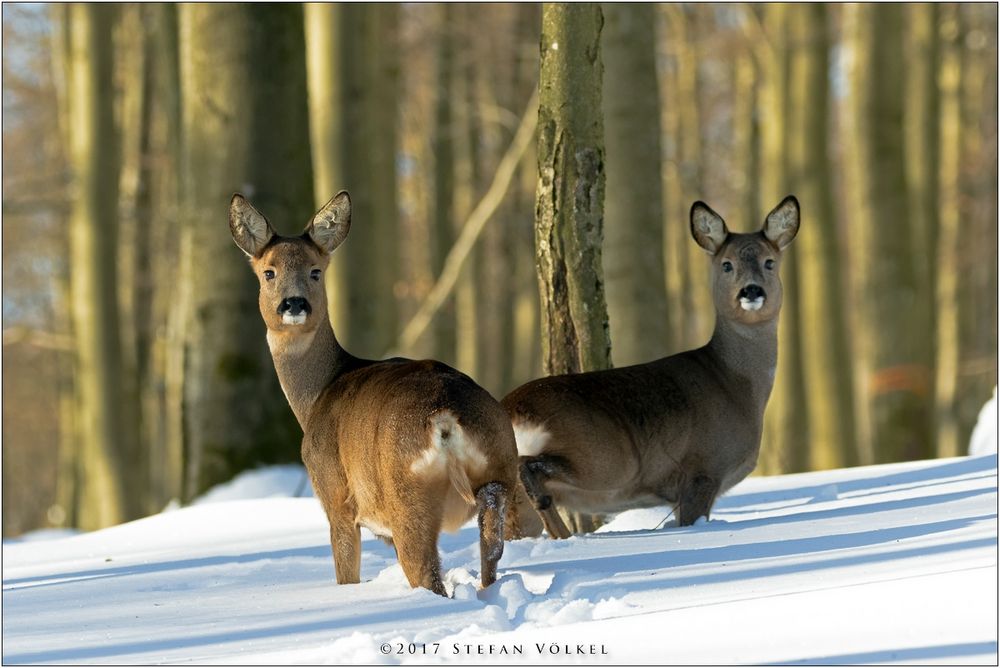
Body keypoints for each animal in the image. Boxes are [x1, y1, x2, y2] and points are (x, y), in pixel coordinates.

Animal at [229, 190, 520, 592]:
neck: (319, 392)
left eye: (315, 271)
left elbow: (346, 576)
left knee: (427, 574)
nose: (294, 304)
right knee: (490, 557)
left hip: (407, 498)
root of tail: (446, 418)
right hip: (500, 471)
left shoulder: (337, 498)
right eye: (268, 272)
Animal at [504, 194, 800, 536]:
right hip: (605, 459)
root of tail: (512, 410)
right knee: (531, 468)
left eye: (769, 261)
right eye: (727, 264)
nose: (751, 290)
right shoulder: (701, 469)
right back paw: (565, 535)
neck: (736, 385)